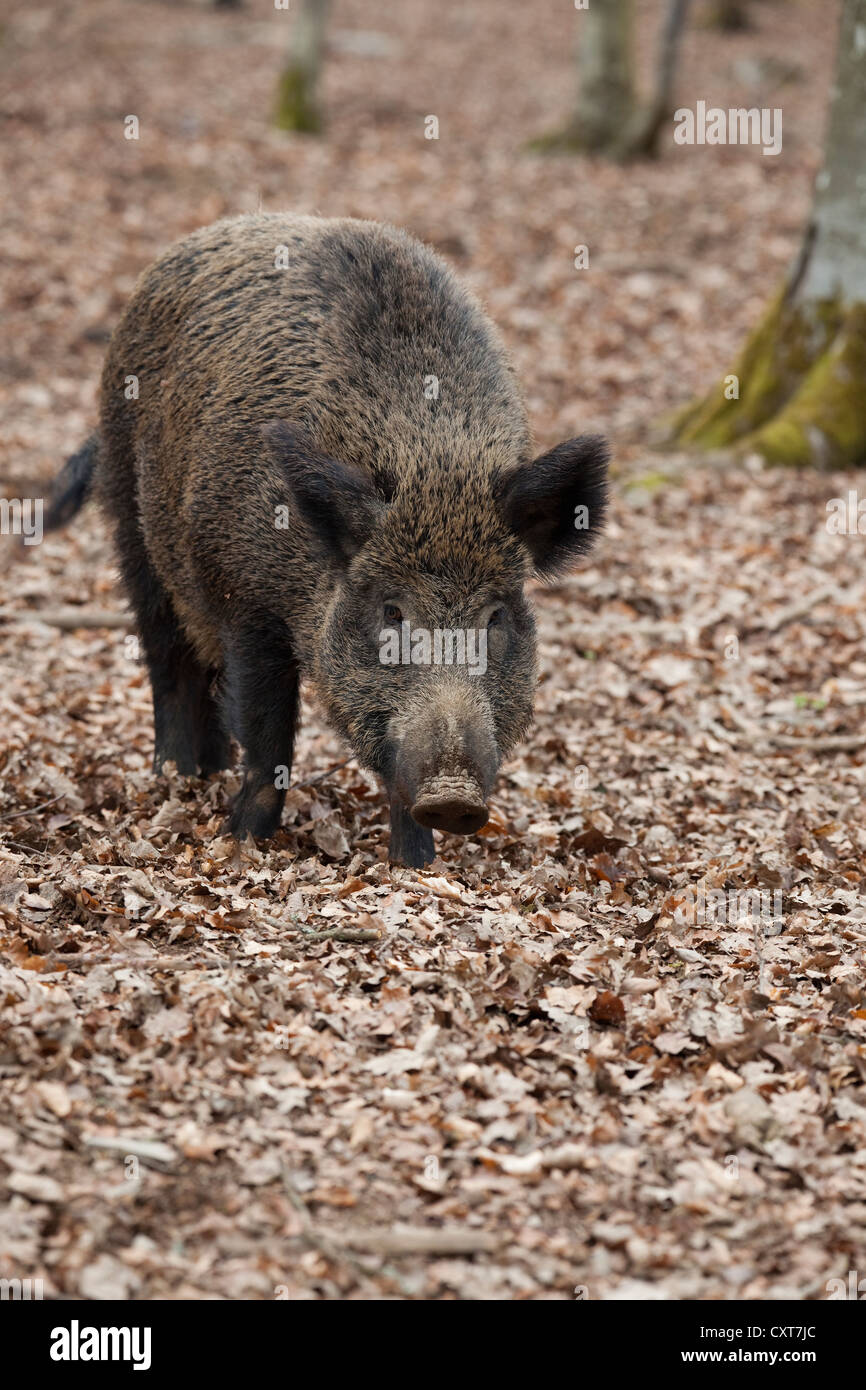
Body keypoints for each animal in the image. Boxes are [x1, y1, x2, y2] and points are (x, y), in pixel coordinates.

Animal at [46, 214, 608, 867]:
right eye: (391, 610)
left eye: (495, 616)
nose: (453, 795)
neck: (432, 460)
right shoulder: (248, 603)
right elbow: (268, 739)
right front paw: (242, 842)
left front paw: (414, 866)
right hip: (129, 518)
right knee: (165, 654)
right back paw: (177, 776)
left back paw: (208, 772)